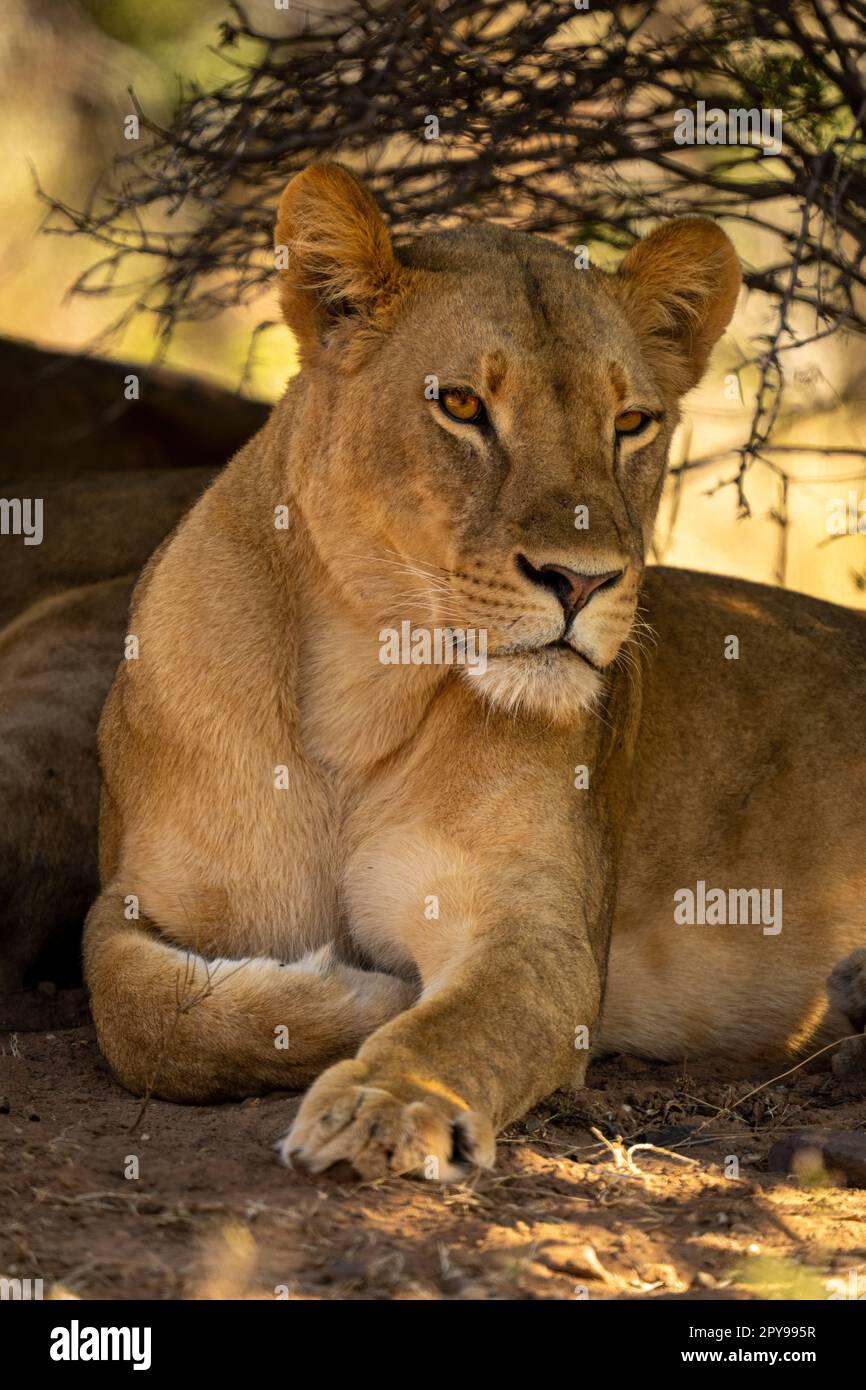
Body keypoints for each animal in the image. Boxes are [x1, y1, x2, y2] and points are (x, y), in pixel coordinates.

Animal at [83, 162, 866, 1180]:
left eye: (631, 422)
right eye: (460, 406)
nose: (583, 580)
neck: (358, 701)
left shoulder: (539, 935)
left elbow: (457, 1029)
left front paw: (382, 1097)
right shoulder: (135, 897)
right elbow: (140, 1017)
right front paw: (357, 999)